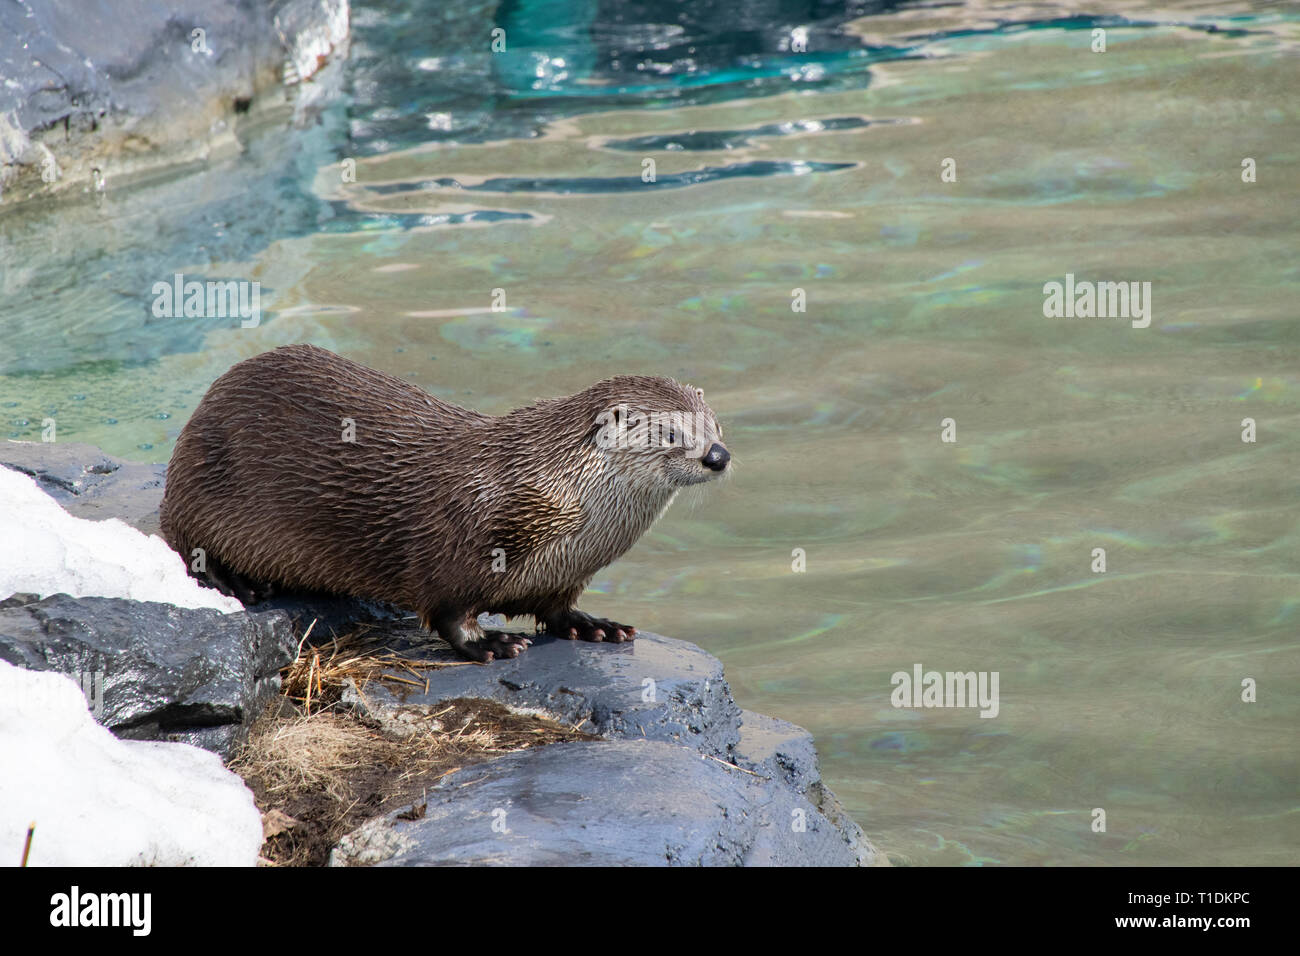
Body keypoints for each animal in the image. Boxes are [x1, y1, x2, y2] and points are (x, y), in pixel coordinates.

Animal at [160, 344, 730, 661]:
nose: (718, 456)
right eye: (671, 432)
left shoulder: (565, 572)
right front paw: (490, 644)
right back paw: (239, 583)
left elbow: (556, 608)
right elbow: (447, 607)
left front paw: (595, 625)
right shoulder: (461, 541)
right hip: (200, 489)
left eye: (716, 424)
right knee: (185, 543)